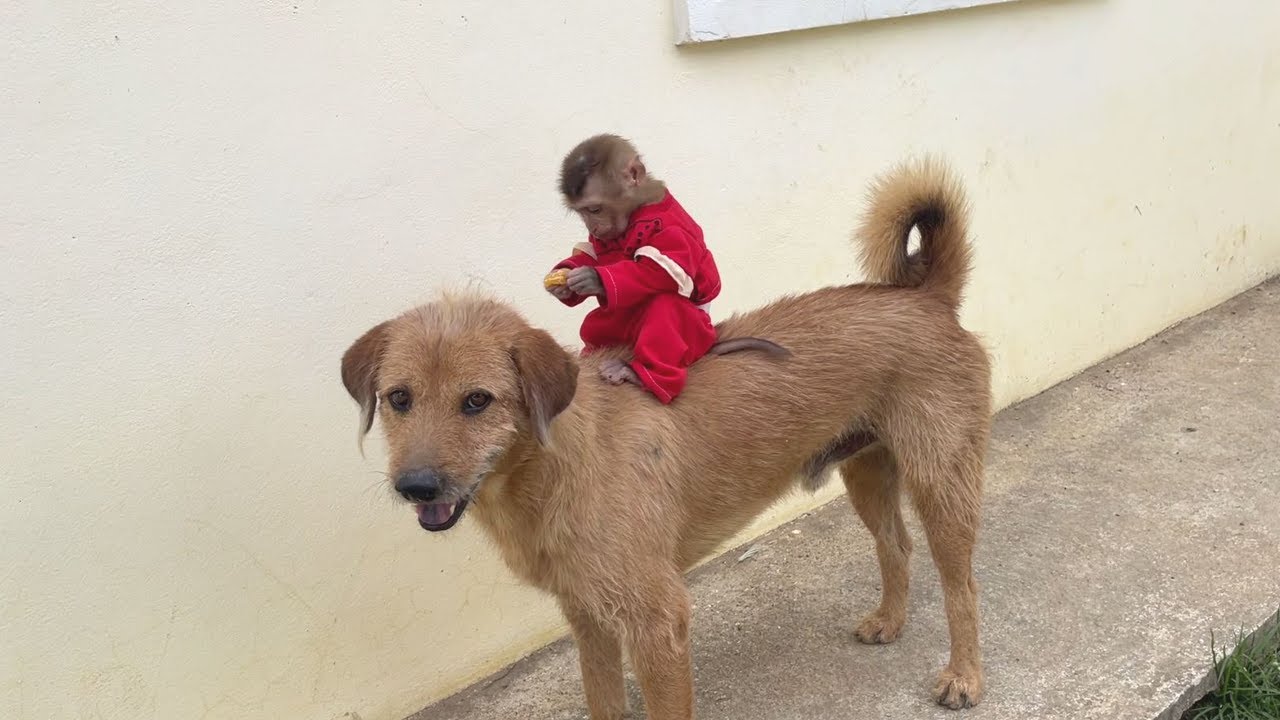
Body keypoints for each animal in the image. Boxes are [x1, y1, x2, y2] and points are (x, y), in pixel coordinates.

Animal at [545, 134, 781, 404]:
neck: (638, 209)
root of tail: (708, 342)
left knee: (666, 305)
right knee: (596, 325)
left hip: (696, 335)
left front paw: (594, 279)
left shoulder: (673, 226)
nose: (592, 225)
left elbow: (662, 270)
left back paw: (641, 374)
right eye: (582, 213)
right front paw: (564, 282)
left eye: (595, 209)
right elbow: (589, 253)